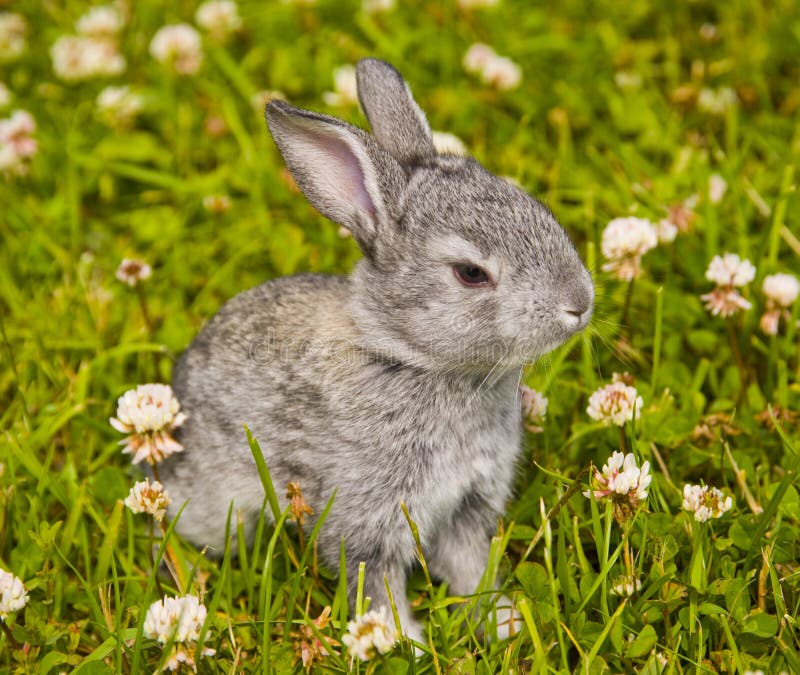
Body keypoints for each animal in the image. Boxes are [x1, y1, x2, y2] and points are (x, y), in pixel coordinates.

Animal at [160, 58, 593, 643]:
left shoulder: (467, 507)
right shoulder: (368, 515)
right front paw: (403, 643)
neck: (414, 358)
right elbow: (377, 583)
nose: (580, 303)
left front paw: (501, 623)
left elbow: (470, 569)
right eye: (470, 273)